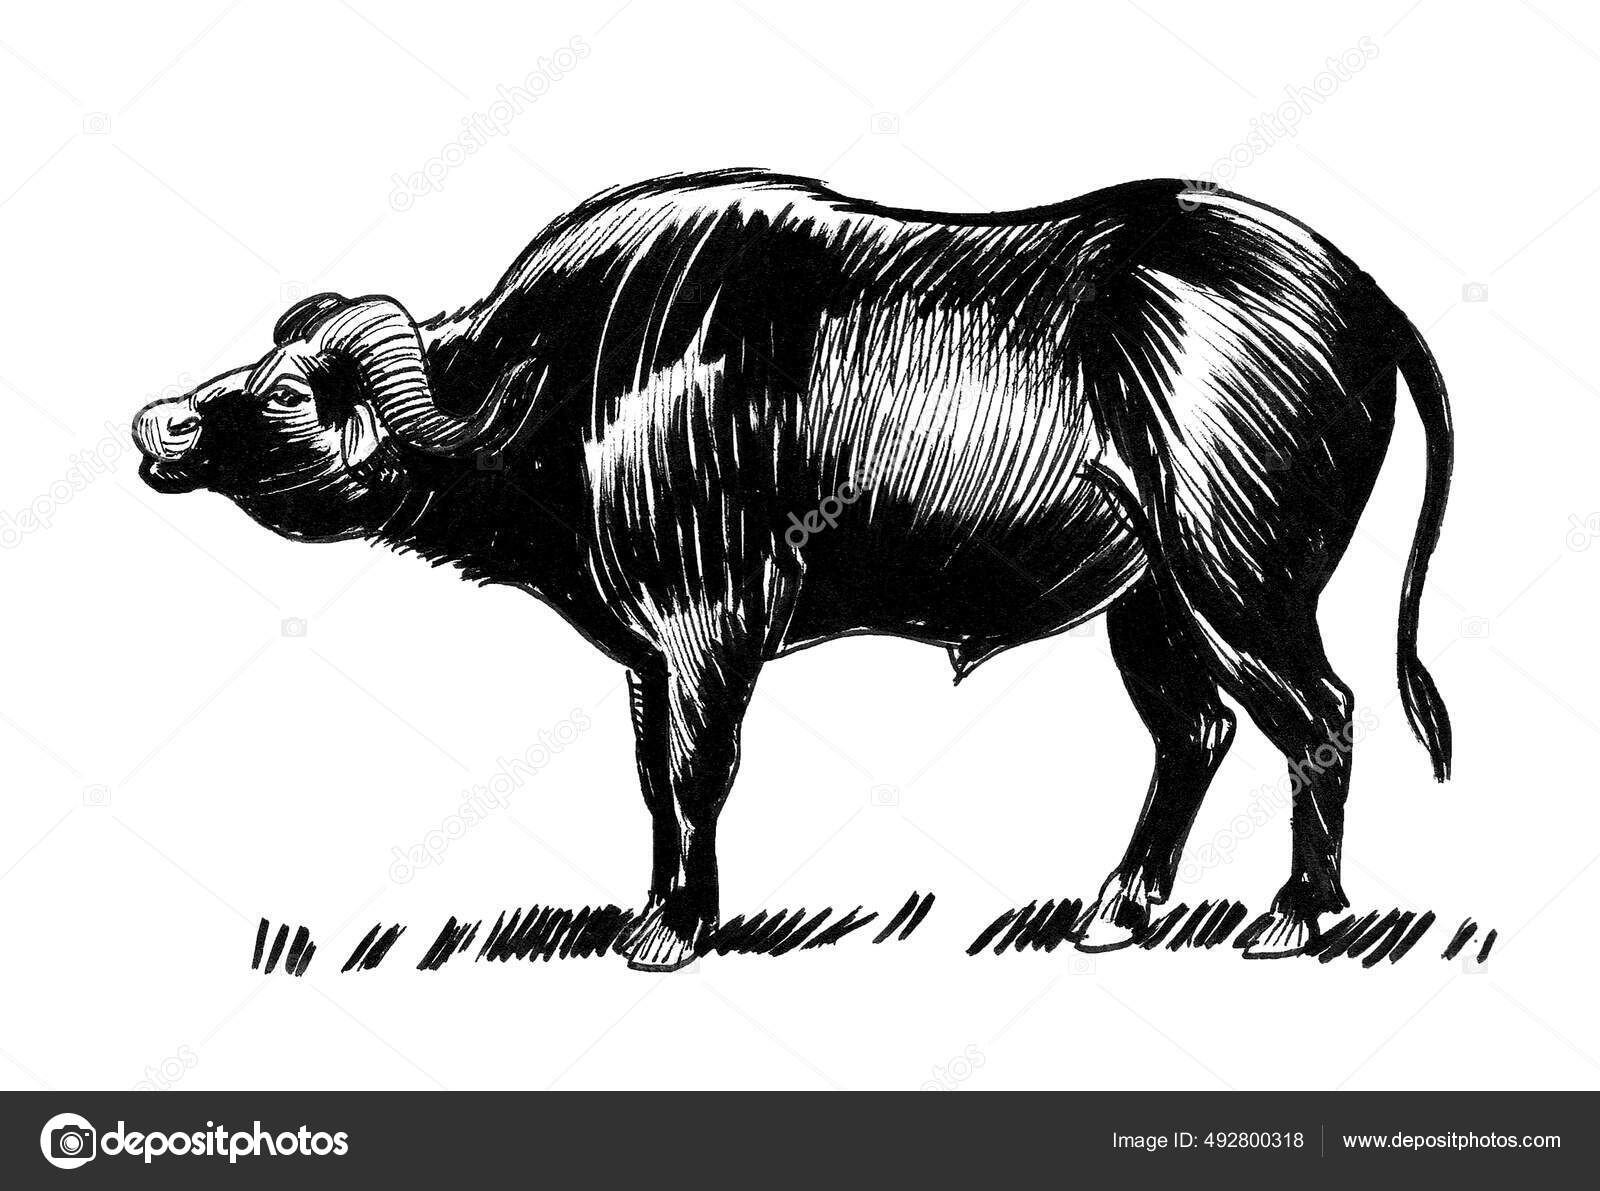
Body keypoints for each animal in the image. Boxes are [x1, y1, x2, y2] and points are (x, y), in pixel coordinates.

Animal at [132, 169, 1453, 970]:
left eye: (294, 393)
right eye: (266, 364)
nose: (162, 422)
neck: (579, 381)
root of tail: (1356, 294)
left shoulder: (711, 631)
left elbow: (696, 775)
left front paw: (674, 930)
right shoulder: (648, 656)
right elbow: (652, 783)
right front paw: (657, 907)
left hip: (1238, 581)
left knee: (1317, 716)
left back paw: (1293, 915)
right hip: (1152, 607)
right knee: (1196, 733)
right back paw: (1114, 910)